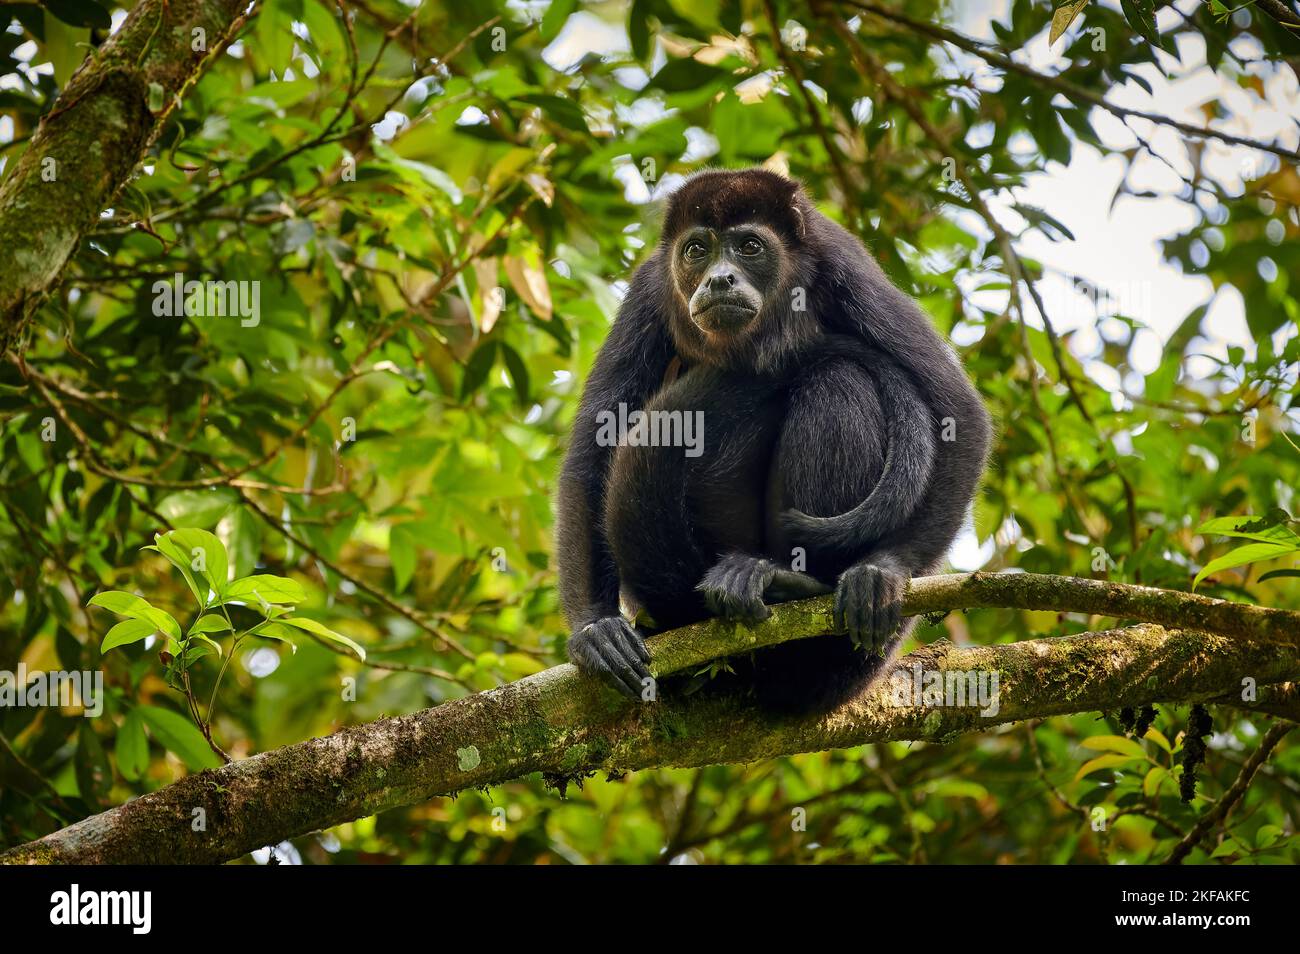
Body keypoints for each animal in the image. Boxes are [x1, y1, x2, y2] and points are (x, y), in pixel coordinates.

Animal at [555, 168, 991, 712]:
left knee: (840, 377)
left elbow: (959, 413)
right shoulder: (649, 291)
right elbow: (592, 449)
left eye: (749, 247)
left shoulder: (844, 266)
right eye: (697, 249)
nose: (719, 278)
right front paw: (595, 628)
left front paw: (884, 571)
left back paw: (789, 581)